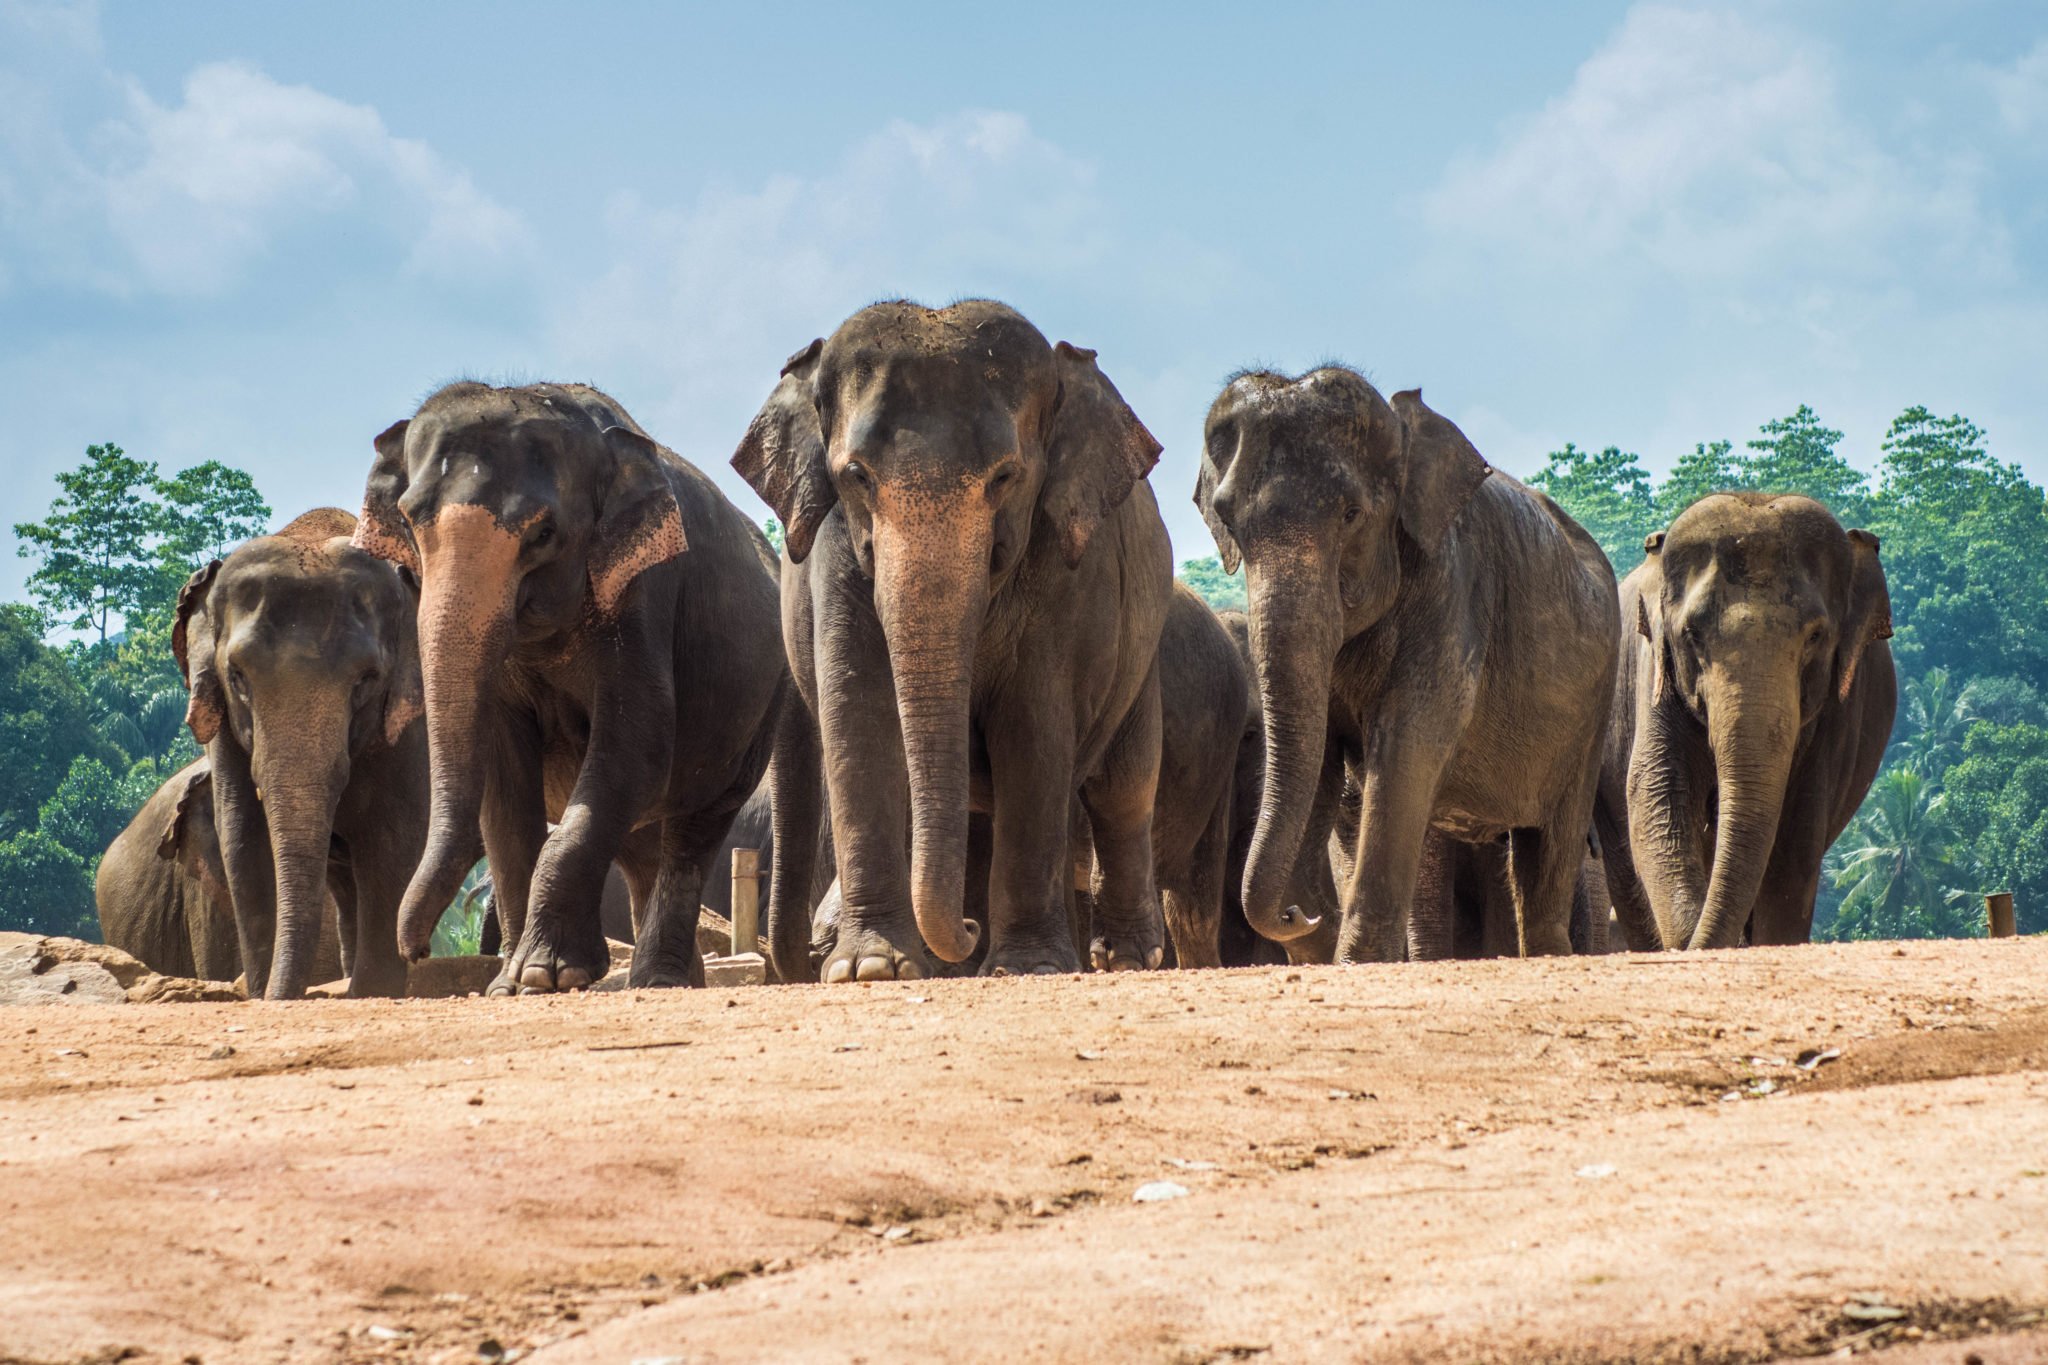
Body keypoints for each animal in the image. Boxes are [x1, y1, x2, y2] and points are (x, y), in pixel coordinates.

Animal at [174, 508, 426, 999]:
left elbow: (394, 838)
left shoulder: (413, 718)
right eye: (238, 677)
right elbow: (242, 841)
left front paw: (373, 993)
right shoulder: (225, 735)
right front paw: (262, 992)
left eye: (366, 680)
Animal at [356, 382, 819, 992]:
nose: (416, 952)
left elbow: (637, 746)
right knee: (641, 840)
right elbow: (505, 785)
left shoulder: (643, 593)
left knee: (692, 829)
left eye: (543, 533)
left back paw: (660, 979)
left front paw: (545, 974)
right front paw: (511, 983)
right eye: (410, 522)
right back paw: (665, 975)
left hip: (757, 712)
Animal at [733, 299, 1174, 981]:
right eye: (856, 476)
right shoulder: (837, 558)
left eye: (1006, 476)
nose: (966, 932)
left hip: (1142, 656)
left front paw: (1029, 968)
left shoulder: (1066, 571)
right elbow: (859, 716)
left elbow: (1033, 727)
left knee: (1122, 789)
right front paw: (871, 968)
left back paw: (1123, 959)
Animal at [1194, 368, 1620, 963]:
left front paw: (1355, 962)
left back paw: (1547, 953)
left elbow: (1405, 747)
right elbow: (1322, 759)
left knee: (1552, 838)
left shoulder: (1453, 590)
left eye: (1351, 515)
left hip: (1593, 705)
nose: (1297, 914)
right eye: (1228, 522)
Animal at [1595, 493, 1896, 950]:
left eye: (1815, 636)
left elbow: (1796, 839)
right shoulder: (1654, 676)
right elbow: (1656, 792)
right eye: (1691, 634)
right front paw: (1688, 937)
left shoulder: (1836, 711)